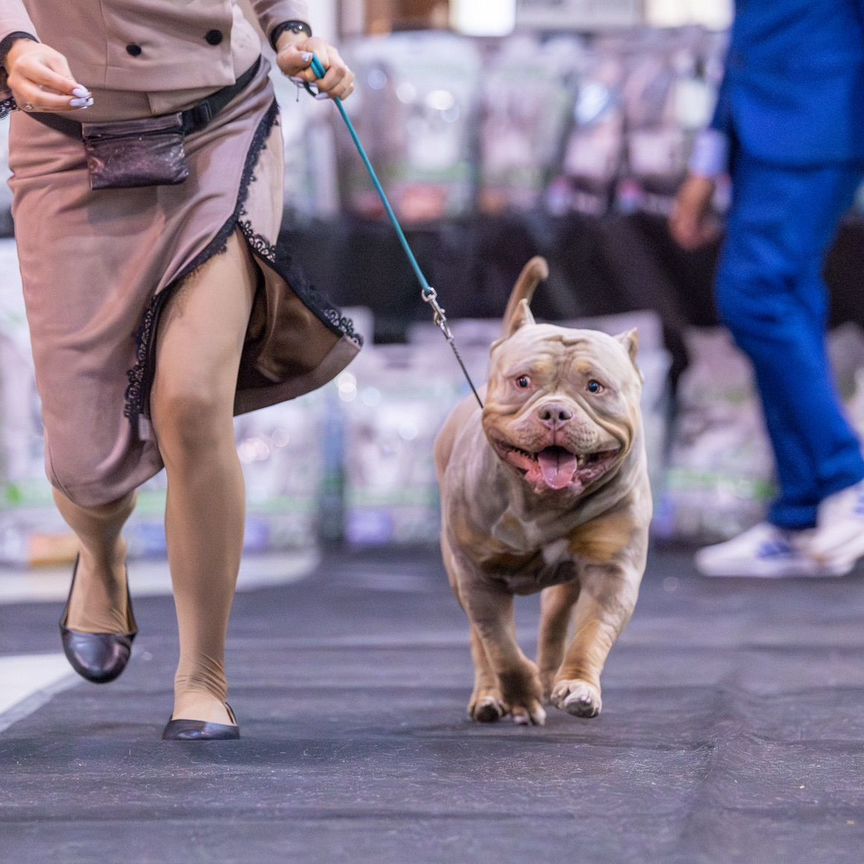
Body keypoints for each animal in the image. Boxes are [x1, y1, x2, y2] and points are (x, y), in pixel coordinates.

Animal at [434, 257, 651, 725]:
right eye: (523, 382)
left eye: (595, 387)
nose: (555, 412)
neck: (542, 503)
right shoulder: (477, 575)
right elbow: (499, 645)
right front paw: (520, 695)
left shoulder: (612, 571)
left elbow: (592, 632)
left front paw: (578, 686)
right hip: (457, 573)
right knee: (482, 642)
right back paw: (490, 696)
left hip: (564, 583)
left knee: (555, 622)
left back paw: (553, 677)